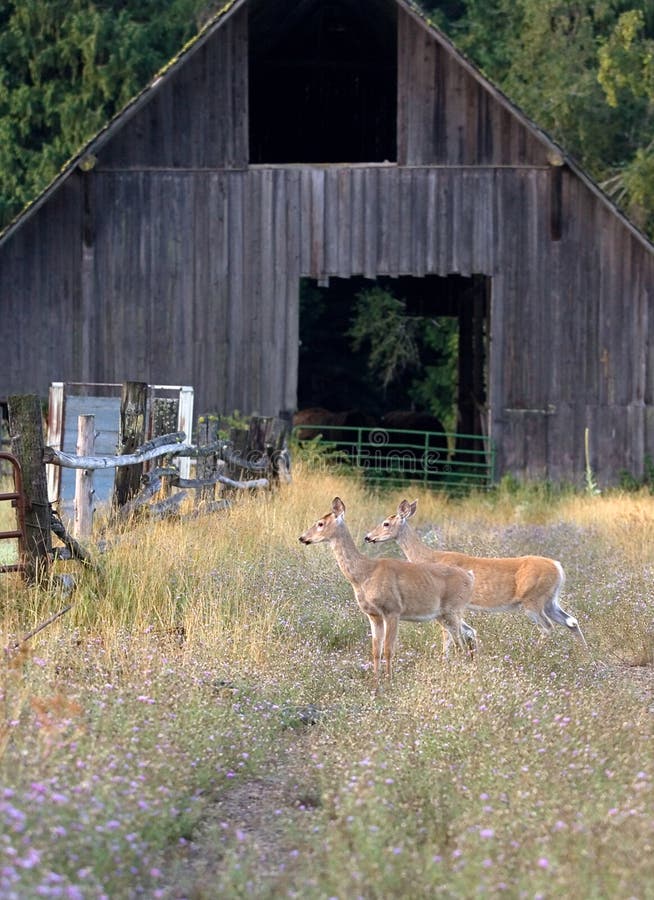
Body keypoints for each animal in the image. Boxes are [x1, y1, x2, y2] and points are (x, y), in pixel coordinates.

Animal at [298, 497, 477, 692]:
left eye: (320, 523)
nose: (302, 537)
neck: (364, 573)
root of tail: (470, 577)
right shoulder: (373, 615)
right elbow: (376, 650)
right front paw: (375, 682)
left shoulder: (392, 610)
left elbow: (388, 649)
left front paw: (389, 681)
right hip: (443, 614)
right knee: (466, 634)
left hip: (454, 609)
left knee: (460, 640)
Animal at [365, 499, 587, 648]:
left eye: (385, 523)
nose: (368, 537)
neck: (430, 558)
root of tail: (558, 566)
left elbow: (446, 635)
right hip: (550, 599)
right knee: (571, 621)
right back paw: (585, 656)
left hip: (533, 598)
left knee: (547, 626)